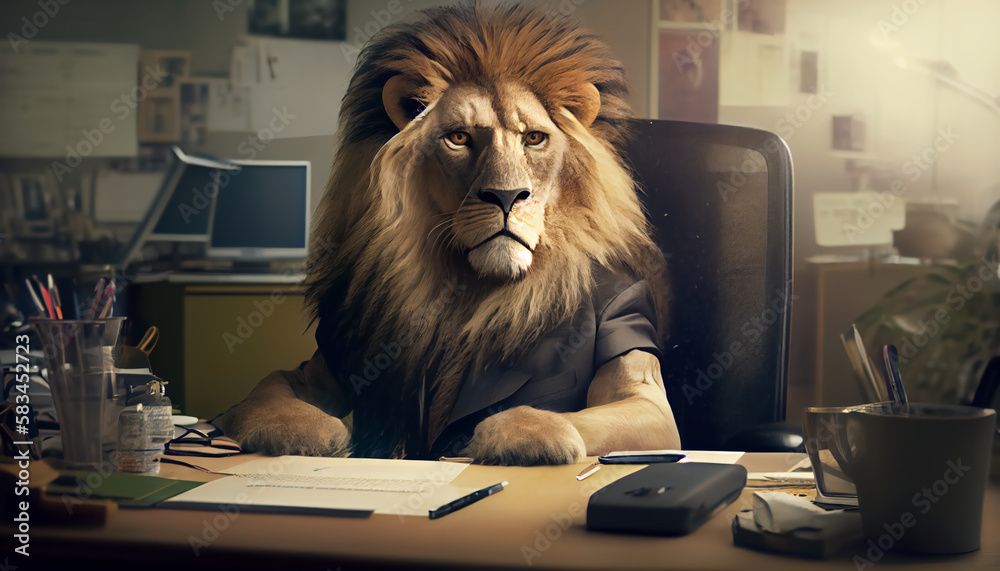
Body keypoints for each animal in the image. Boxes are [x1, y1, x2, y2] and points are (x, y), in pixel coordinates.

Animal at [217, 2, 681, 465]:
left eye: (534, 138)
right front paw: (314, 437)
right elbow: (266, 395)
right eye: (459, 138)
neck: (467, 286)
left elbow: (627, 408)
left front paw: (512, 436)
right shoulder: (326, 354)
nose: (507, 195)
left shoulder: (640, 378)